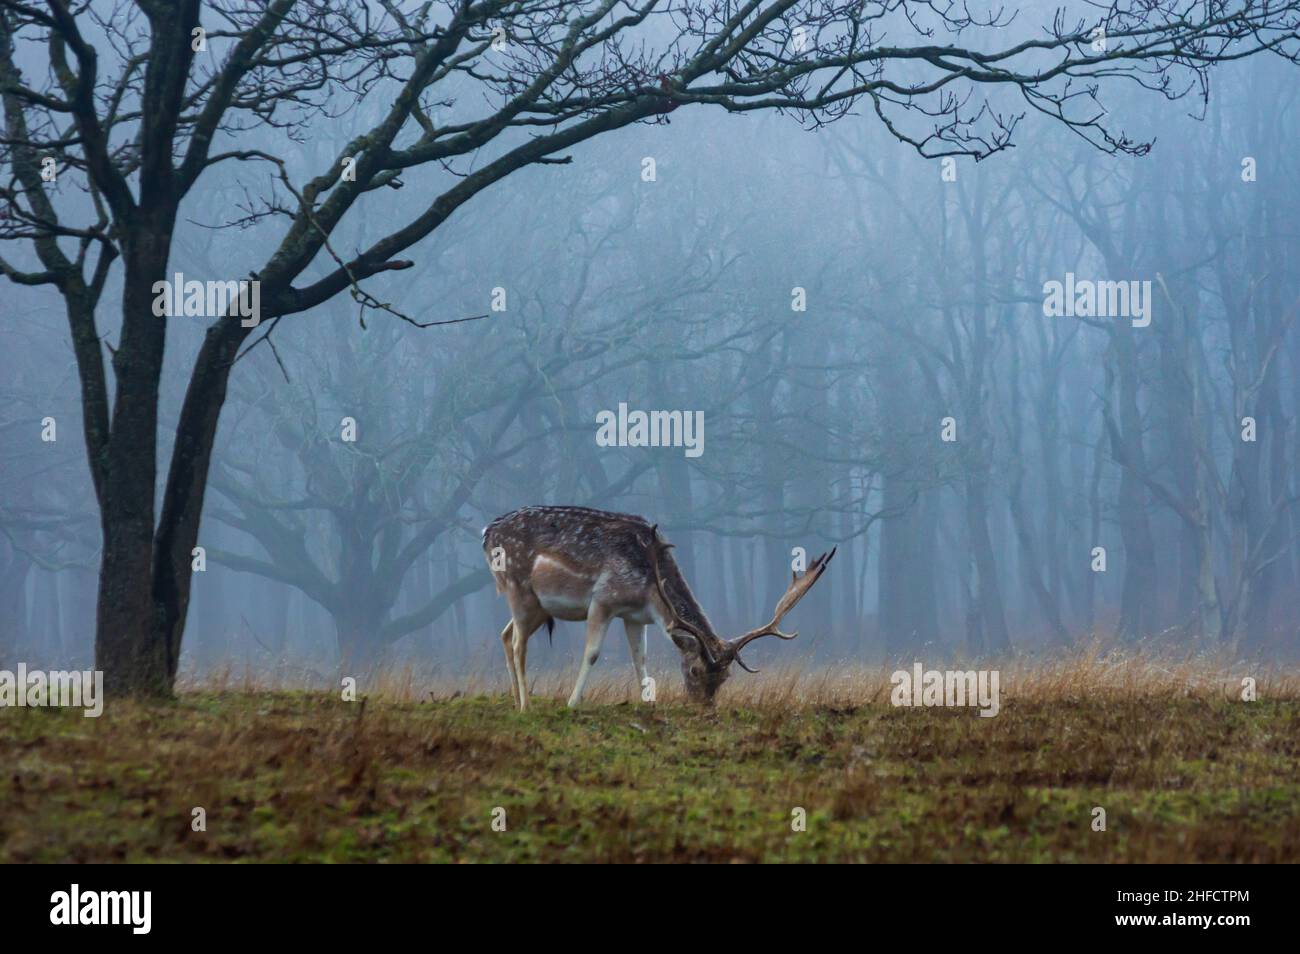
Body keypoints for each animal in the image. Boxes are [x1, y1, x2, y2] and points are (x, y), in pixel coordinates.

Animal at [482, 505, 834, 710]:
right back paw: (526, 706)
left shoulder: (634, 616)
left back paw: (516, 699)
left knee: (505, 634)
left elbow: (640, 658)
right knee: (518, 643)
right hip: (519, 589)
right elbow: (592, 653)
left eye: (725, 678)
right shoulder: (603, 600)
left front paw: (648, 702)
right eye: (694, 670)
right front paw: (572, 703)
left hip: (537, 607)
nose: (703, 708)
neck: (650, 589)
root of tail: (486, 533)